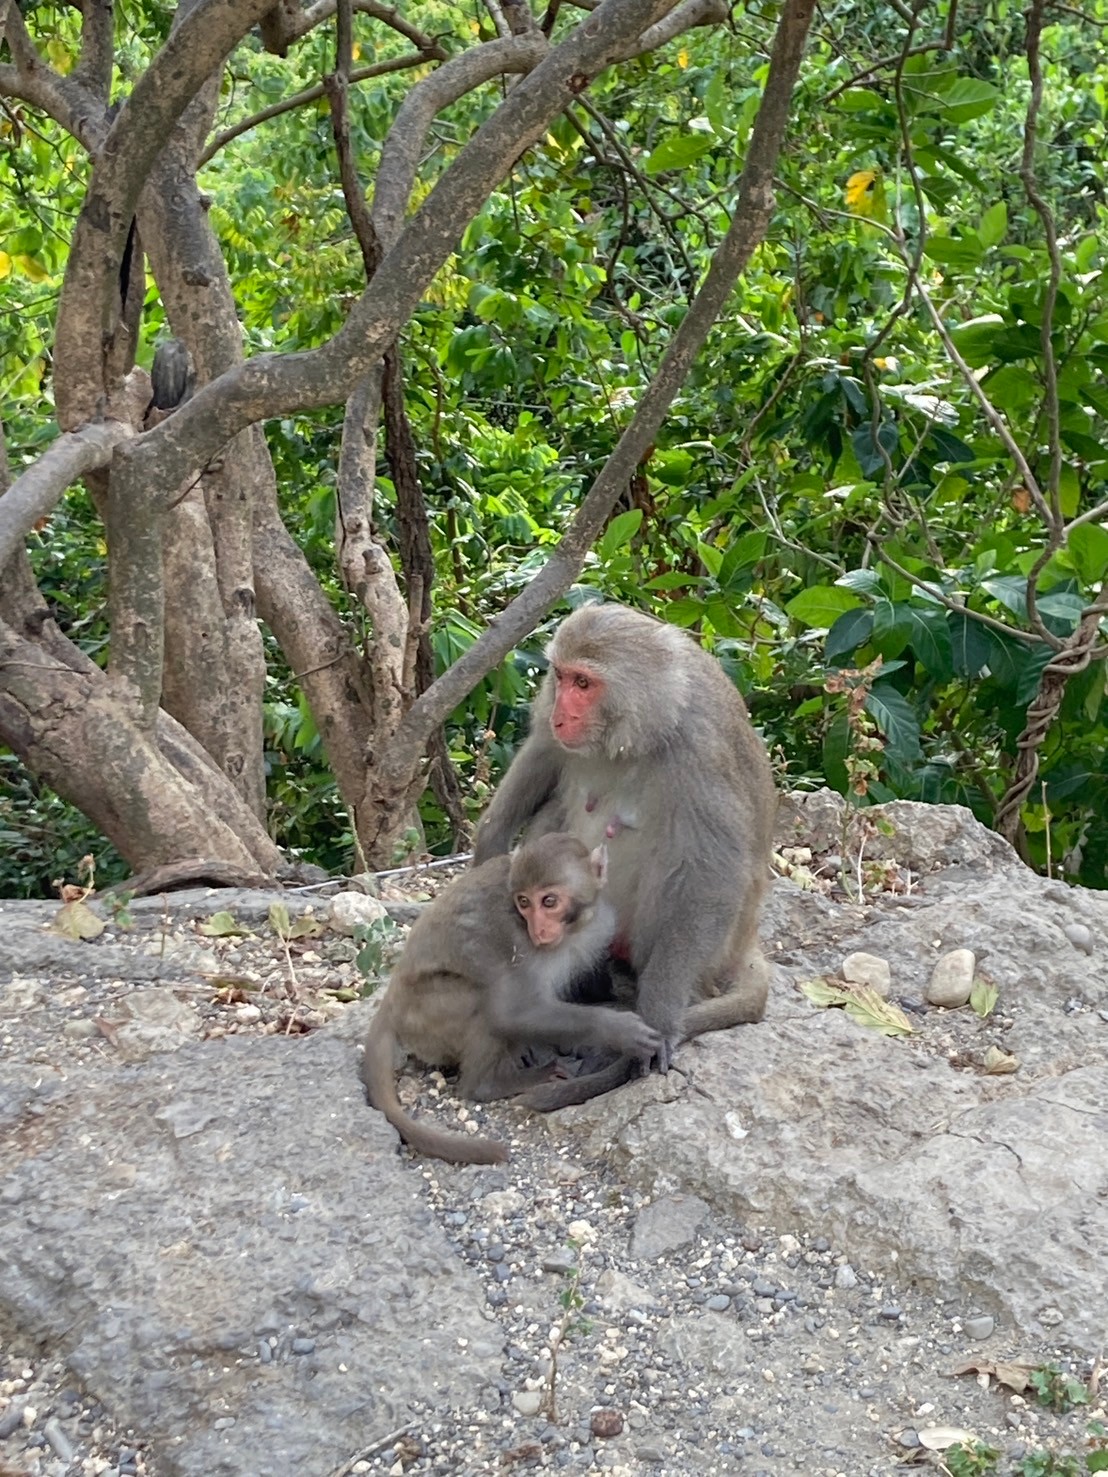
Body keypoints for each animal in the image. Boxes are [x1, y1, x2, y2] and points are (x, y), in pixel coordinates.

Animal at [360, 832, 662, 1164]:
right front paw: (619, 1030)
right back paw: (487, 1085)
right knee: (482, 1006)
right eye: (523, 902)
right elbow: (509, 1013)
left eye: (549, 901)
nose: (538, 928)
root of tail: (391, 1002)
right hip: (425, 1015)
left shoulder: (601, 924)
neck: (573, 930)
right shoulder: (518, 941)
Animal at [473, 601, 777, 1110]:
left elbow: (710, 875)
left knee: (673, 874)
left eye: (584, 683)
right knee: (551, 823)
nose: (561, 713)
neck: (638, 729)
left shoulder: (702, 746)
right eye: (561, 675)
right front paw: (486, 853)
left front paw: (657, 1025)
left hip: (716, 944)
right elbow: (540, 762)